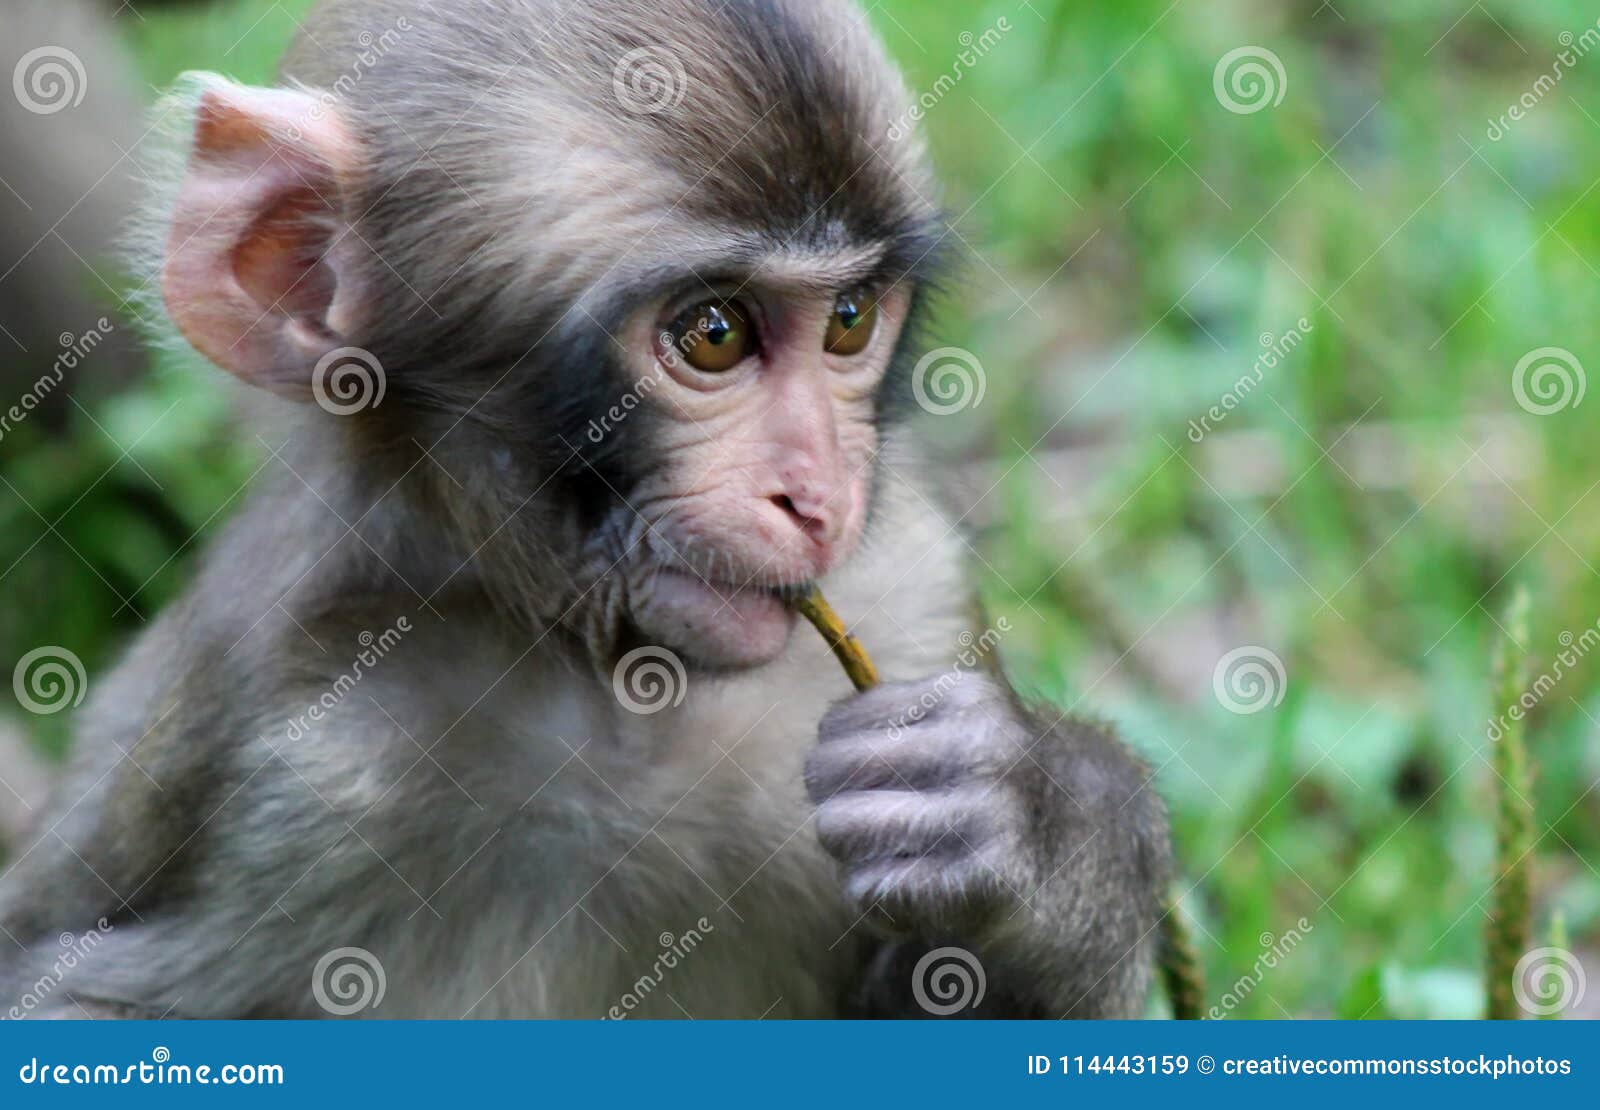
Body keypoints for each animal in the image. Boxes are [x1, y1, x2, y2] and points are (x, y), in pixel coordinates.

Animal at [0, 0, 1170, 1019]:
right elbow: (74, 1001)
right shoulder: (307, 760)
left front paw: (1039, 830)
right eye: (712, 336)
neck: (618, 687)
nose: (818, 497)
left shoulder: (910, 588)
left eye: (847, 320)